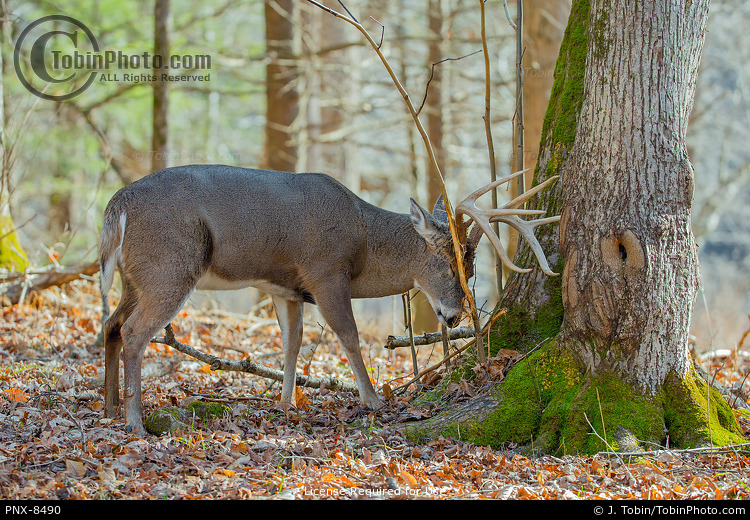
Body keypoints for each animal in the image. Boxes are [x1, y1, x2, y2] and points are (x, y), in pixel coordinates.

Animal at [99, 164, 558, 434]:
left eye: (473, 266)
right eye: (451, 265)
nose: (454, 315)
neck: (364, 239)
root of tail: (117, 205)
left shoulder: (285, 287)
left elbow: (292, 343)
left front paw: (285, 403)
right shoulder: (326, 271)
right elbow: (349, 335)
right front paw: (373, 401)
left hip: (135, 278)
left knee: (111, 325)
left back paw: (108, 407)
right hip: (170, 266)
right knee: (136, 332)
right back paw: (135, 423)